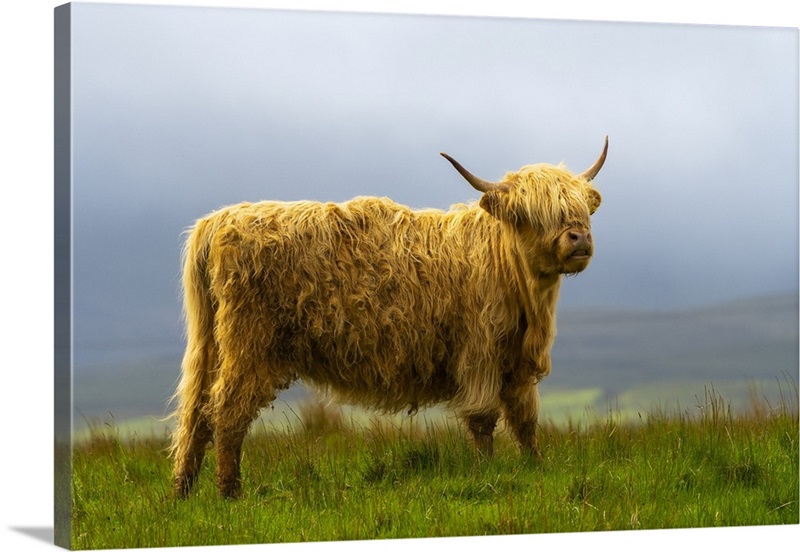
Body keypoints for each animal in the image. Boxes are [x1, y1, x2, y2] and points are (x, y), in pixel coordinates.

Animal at [169, 138, 607, 498]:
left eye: (581, 210)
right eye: (531, 214)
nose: (579, 238)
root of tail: (218, 220)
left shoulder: (515, 362)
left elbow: (526, 418)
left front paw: (536, 467)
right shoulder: (479, 351)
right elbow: (484, 420)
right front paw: (488, 473)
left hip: (211, 342)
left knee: (196, 410)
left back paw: (184, 491)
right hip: (250, 344)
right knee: (226, 410)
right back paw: (230, 493)